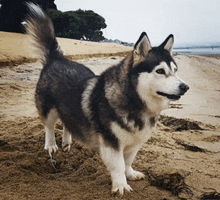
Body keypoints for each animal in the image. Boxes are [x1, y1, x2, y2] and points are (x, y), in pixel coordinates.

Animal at [24, 2, 188, 195]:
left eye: (175, 70)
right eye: (160, 71)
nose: (185, 87)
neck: (135, 102)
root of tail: (56, 58)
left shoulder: (135, 142)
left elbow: (128, 161)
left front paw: (130, 174)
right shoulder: (112, 143)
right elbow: (118, 165)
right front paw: (121, 185)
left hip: (69, 110)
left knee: (67, 123)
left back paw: (67, 141)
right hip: (48, 108)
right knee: (49, 126)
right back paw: (51, 145)